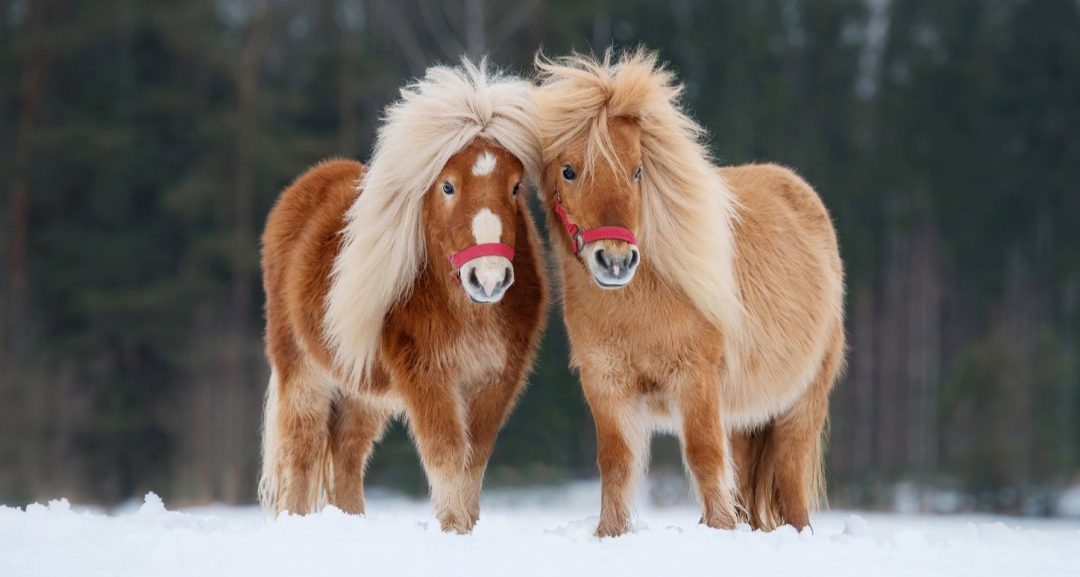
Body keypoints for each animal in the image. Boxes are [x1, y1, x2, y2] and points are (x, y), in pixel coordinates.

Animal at [258, 59, 548, 534]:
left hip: (361, 390)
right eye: (447, 186)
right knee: (302, 451)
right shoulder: (427, 378)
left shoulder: (495, 381)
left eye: (516, 187)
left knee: (348, 452)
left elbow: (473, 463)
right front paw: (454, 532)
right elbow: (447, 457)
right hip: (302, 372)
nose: (488, 279)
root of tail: (303, 188)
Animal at [531, 49, 845, 536]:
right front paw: (610, 534)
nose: (615, 261)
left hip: (800, 406)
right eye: (569, 170)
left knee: (791, 488)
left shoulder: (694, 380)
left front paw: (717, 530)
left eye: (637, 171)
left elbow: (703, 458)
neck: (642, 306)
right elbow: (616, 465)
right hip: (741, 415)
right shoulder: (606, 385)